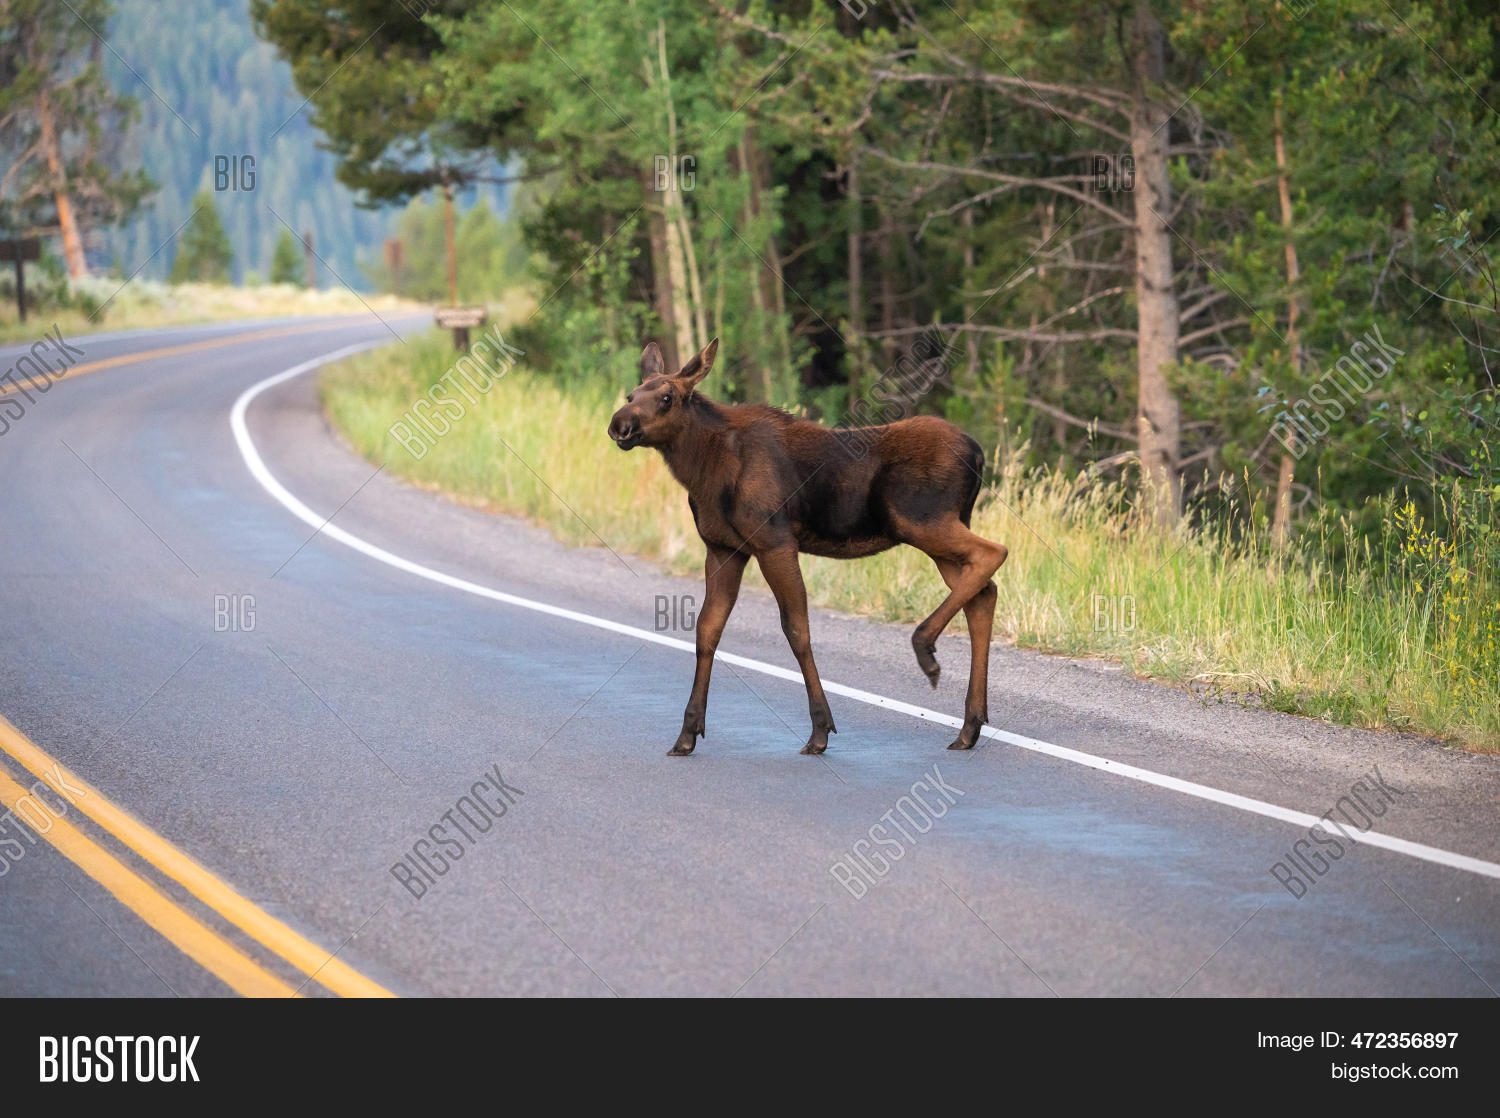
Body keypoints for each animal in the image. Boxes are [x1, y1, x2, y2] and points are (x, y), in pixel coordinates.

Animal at [608, 338, 1008, 756]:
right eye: (631, 394)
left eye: (667, 397)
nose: (620, 425)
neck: (703, 470)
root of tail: (979, 454)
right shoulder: (722, 549)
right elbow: (707, 630)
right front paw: (687, 734)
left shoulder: (775, 543)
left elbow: (797, 629)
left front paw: (820, 730)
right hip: (936, 533)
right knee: (983, 592)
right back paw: (969, 726)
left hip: (923, 520)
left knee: (993, 552)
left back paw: (925, 648)